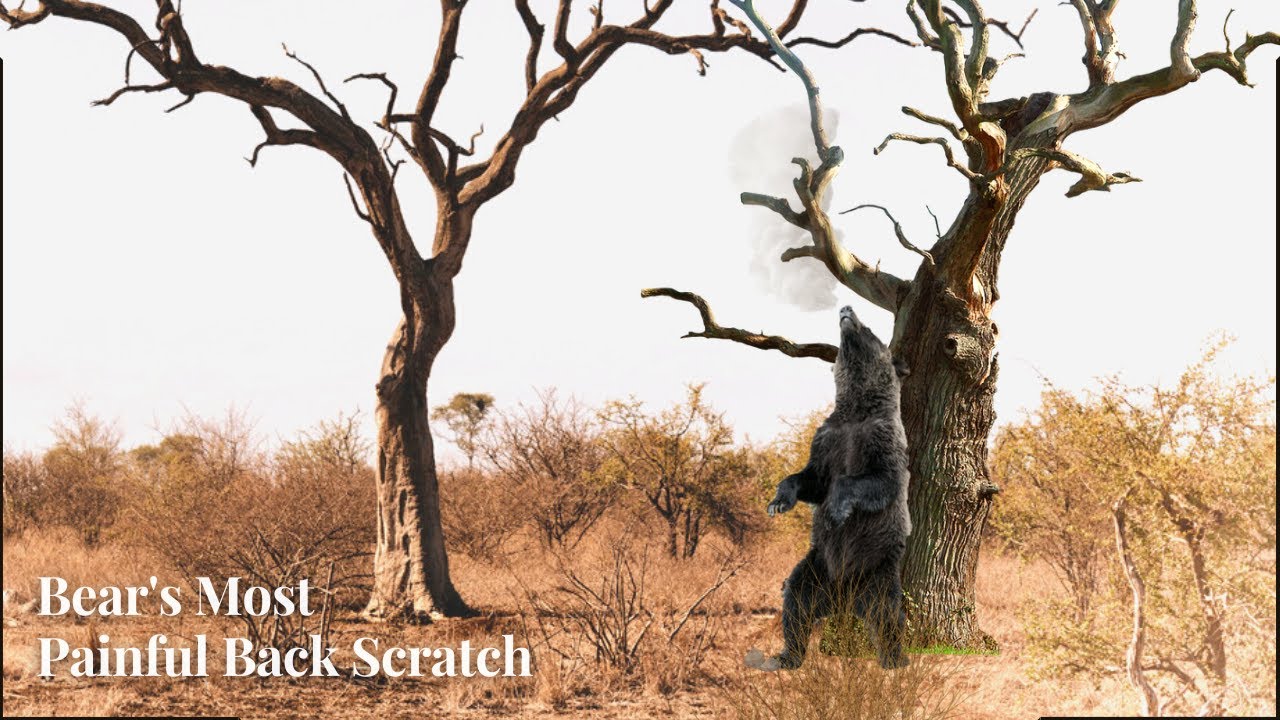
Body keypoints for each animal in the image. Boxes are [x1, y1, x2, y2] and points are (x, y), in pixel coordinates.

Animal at [745, 304, 912, 672]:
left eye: (870, 329)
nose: (846, 309)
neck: (857, 411)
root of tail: (843, 597)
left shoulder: (882, 440)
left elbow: (879, 480)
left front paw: (837, 508)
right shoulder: (828, 439)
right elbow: (810, 479)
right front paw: (778, 502)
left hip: (878, 571)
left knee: (888, 615)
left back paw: (896, 659)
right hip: (817, 567)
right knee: (796, 602)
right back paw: (786, 656)